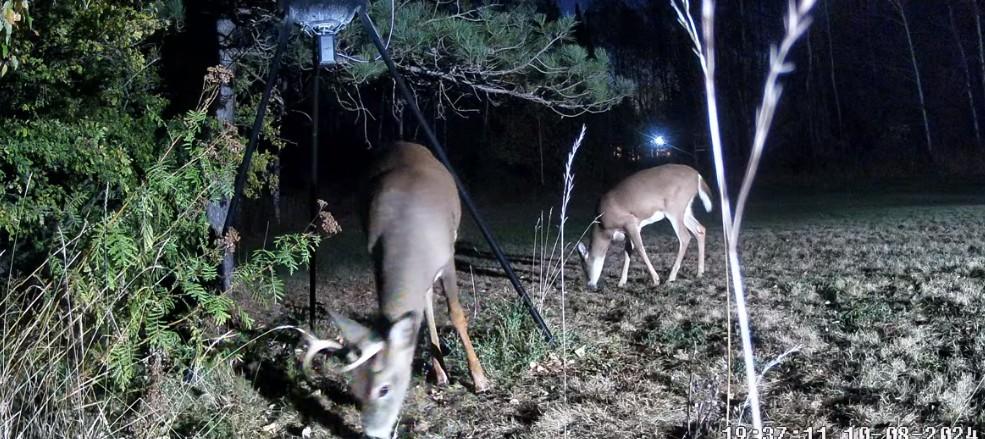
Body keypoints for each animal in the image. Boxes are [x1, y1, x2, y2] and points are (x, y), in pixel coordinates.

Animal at [300, 142, 489, 439]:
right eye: (356, 389)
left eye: (384, 389)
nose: (373, 433)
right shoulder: (376, 261)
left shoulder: (448, 258)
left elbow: (457, 315)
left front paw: (480, 379)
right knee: (425, 303)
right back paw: (440, 373)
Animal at [576, 164, 713, 290]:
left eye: (585, 267)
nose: (590, 286)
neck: (604, 228)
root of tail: (697, 176)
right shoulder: (629, 230)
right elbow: (628, 251)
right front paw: (622, 282)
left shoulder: (630, 221)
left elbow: (640, 248)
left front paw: (656, 279)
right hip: (685, 210)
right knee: (700, 230)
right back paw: (700, 273)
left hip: (674, 208)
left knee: (685, 237)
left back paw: (671, 277)